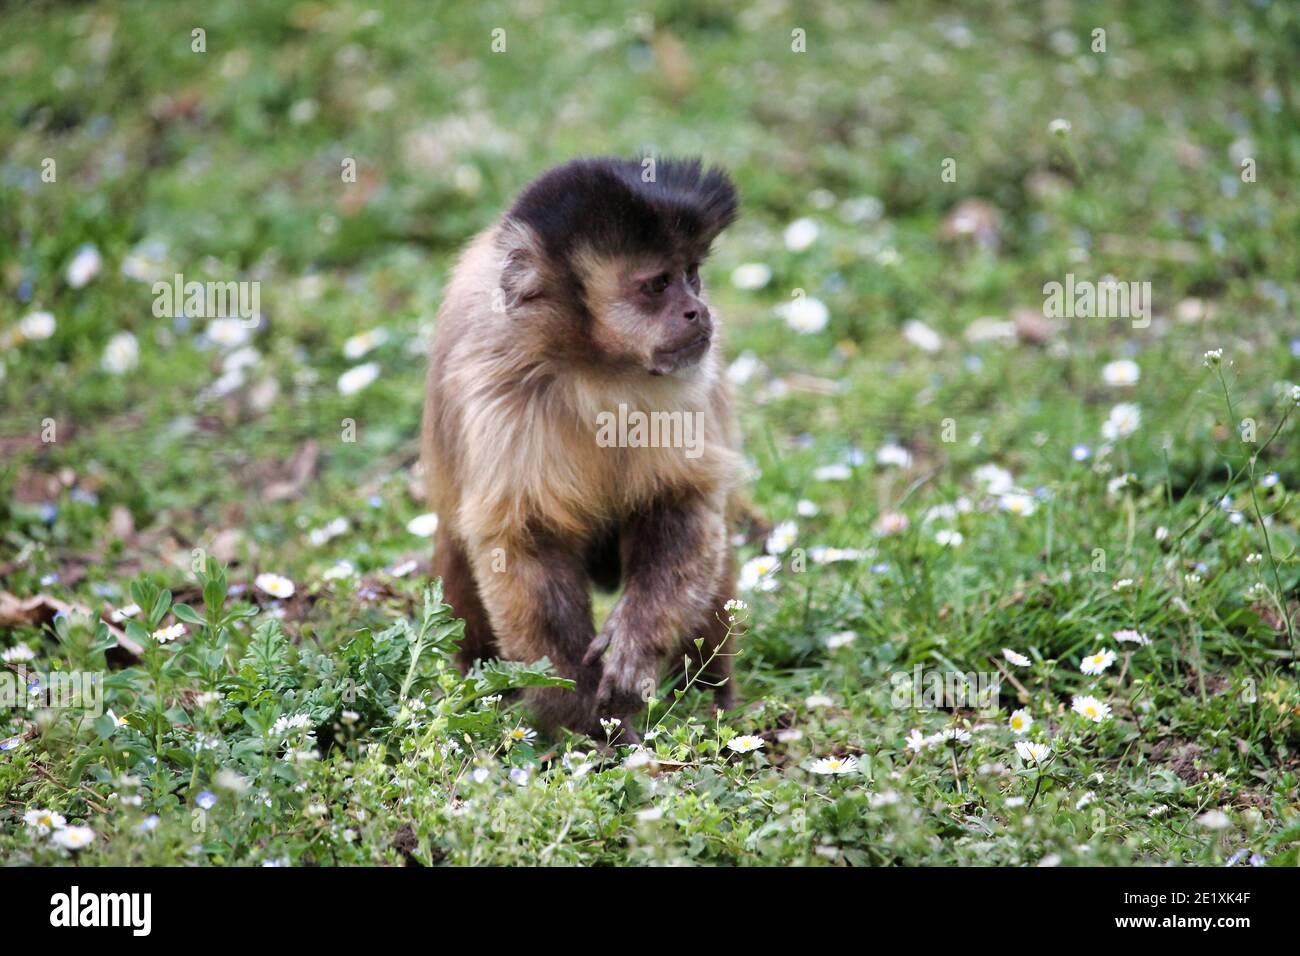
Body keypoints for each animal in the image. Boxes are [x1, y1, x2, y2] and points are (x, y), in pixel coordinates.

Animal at [422, 156, 742, 740]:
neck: (595, 373)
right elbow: (524, 544)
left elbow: (682, 502)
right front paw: (587, 725)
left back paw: (710, 697)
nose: (697, 310)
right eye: (657, 285)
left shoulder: (689, 384)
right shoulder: (499, 391)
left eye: (691, 274)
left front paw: (636, 646)